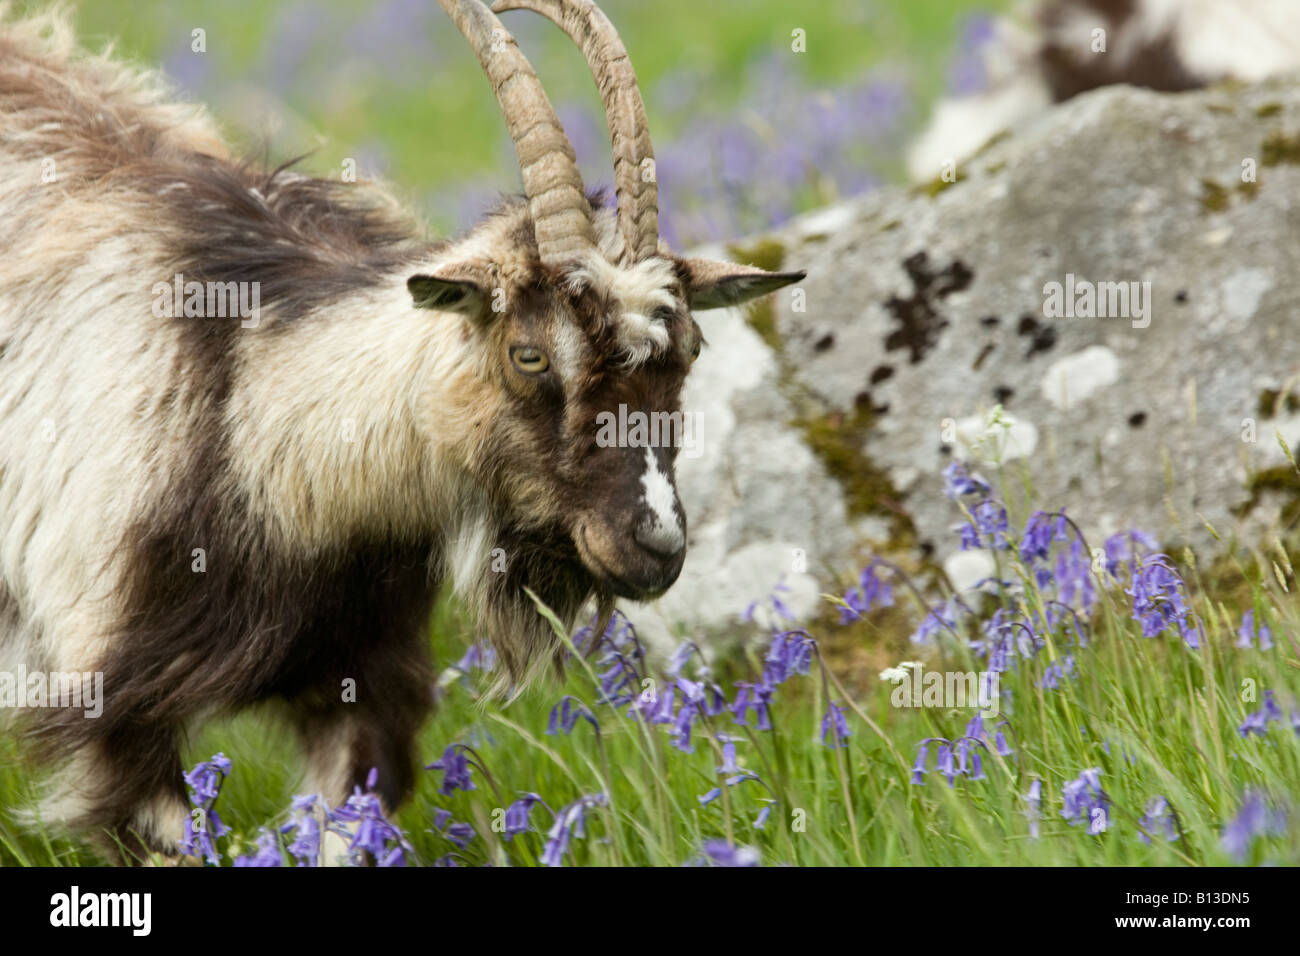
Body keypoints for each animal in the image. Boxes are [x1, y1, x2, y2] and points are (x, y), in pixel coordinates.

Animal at [0, 0, 800, 863]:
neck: (252, 418)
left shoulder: (363, 678)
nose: (655, 546)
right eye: (527, 353)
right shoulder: (108, 702)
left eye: (690, 353)